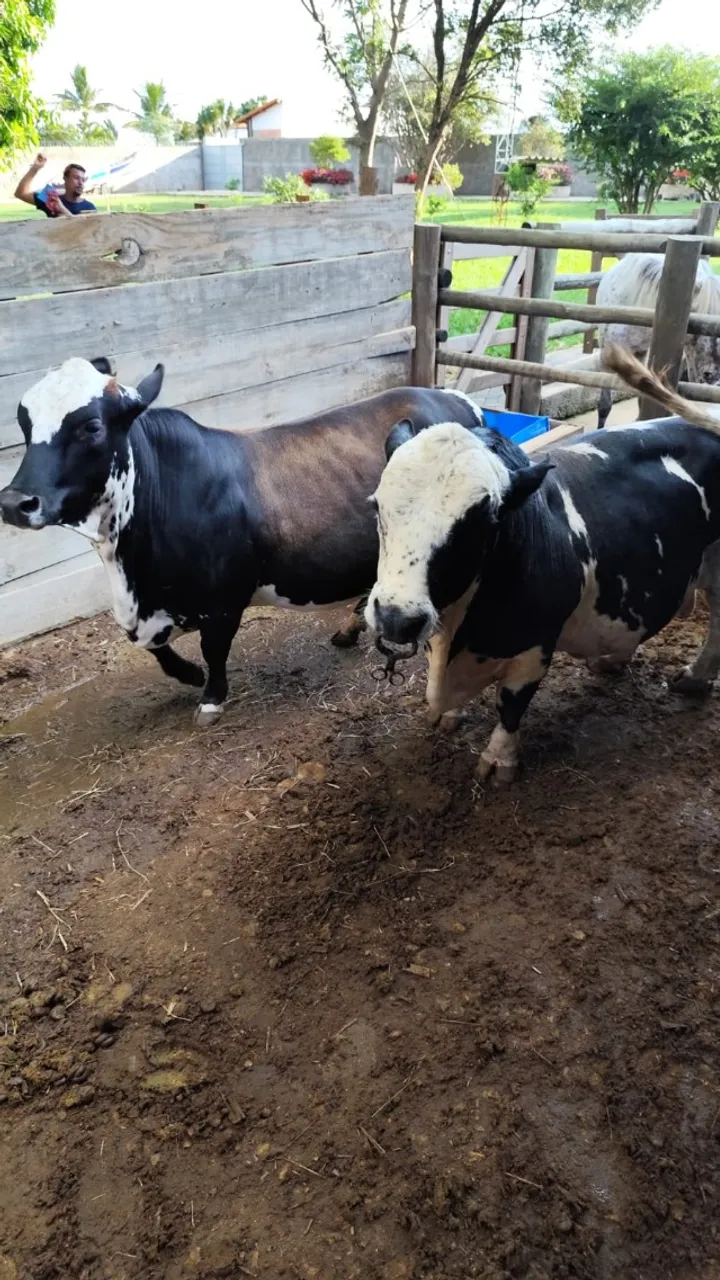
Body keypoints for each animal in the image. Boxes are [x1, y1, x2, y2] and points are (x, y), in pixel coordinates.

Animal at [0, 357, 483, 723]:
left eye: (92, 426)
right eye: (23, 422)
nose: (15, 502)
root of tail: (451, 397)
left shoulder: (224, 598)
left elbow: (214, 649)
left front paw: (211, 698)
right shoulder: (146, 610)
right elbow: (152, 646)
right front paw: (190, 676)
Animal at [365, 345, 720, 784]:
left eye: (480, 522)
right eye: (377, 506)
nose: (396, 618)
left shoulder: (536, 648)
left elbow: (511, 704)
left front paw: (499, 759)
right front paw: (449, 716)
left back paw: (696, 676)